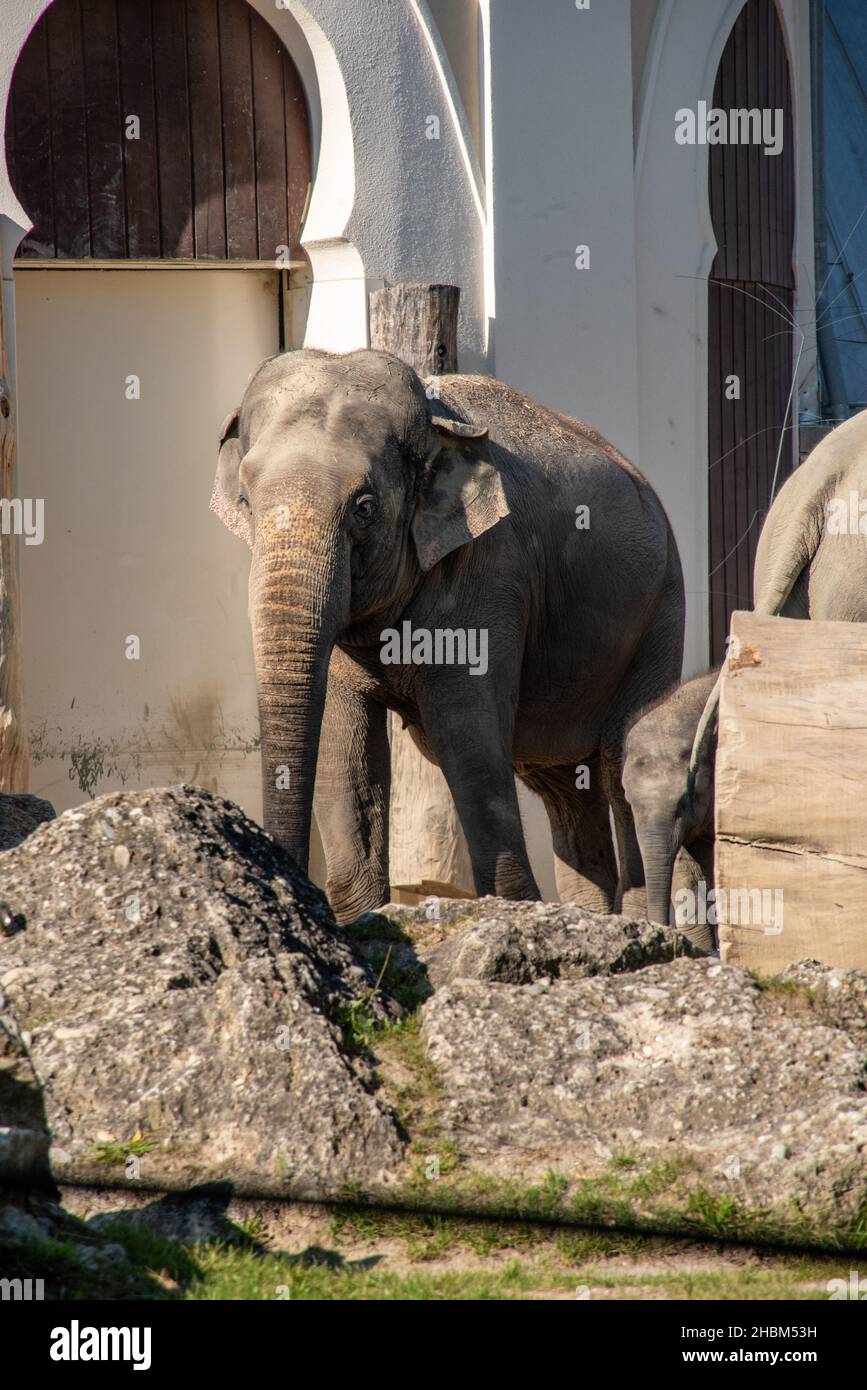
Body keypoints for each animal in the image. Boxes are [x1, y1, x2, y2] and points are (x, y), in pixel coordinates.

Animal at [211, 347, 685, 922]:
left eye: (365, 508)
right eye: (245, 501)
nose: (288, 888)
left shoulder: (490, 570)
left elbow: (469, 737)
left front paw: (510, 911)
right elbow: (343, 751)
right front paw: (367, 919)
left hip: (660, 615)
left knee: (622, 765)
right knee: (567, 790)